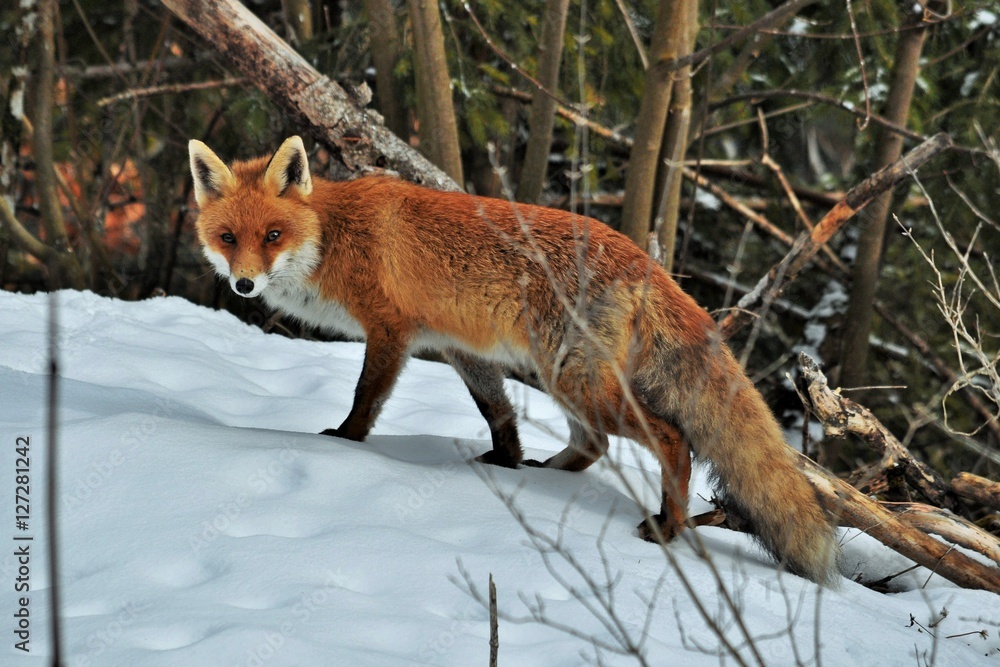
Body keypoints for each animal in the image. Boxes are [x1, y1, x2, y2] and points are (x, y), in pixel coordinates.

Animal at [189, 135, 840, 585]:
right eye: (229, 238)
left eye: (273, 236)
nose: (244, 285)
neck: (333, 234)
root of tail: (644, 259)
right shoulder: (456, 345)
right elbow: (496, 411)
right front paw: (504, 463)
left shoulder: (391, 330)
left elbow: (364, 401)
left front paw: (343, 444)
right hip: (567, 379)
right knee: (592, 446)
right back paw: (545, 476)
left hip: (577, 381)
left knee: (671, 438)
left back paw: (669, 525)